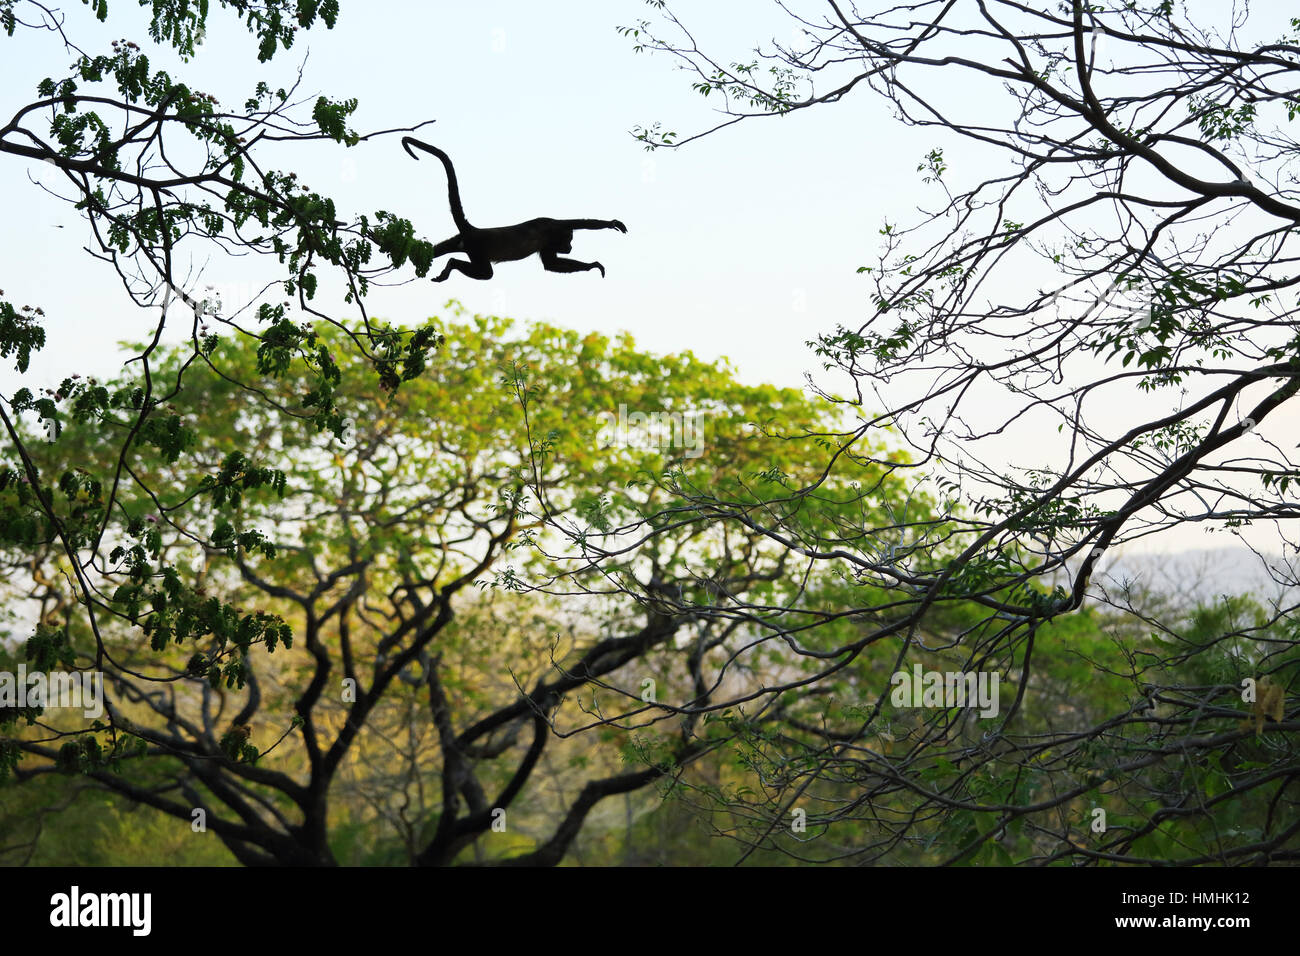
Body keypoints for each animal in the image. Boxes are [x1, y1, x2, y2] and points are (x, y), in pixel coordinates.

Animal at [401, 137, 627, 282]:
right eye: (569, 240)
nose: (570, 247)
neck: (552, 235)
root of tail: (473, 230)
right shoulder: (552, 224)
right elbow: (580, 222)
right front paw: (612, 225)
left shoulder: (548, 241)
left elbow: (551, 265)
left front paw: (589, 266)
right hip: (477, 249)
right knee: (485, 273)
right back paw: (451, 264)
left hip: (460, 242)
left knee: (432, 250)